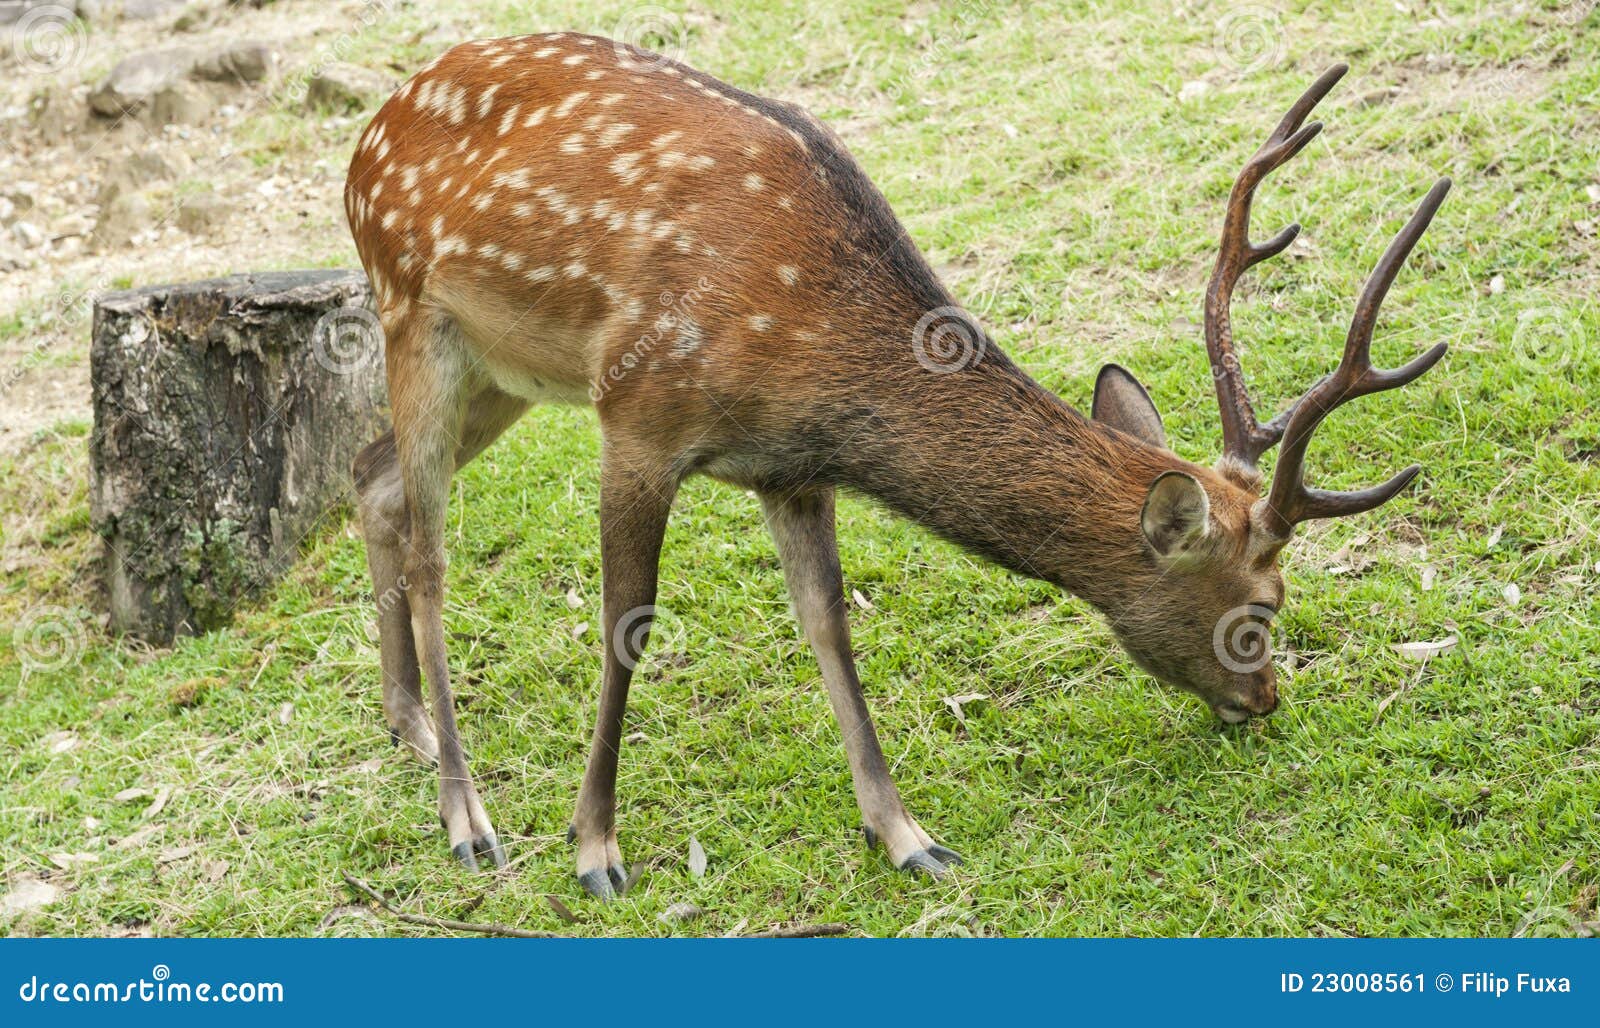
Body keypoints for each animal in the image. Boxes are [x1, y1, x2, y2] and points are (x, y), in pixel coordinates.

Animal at [344, 38, 1448, 898]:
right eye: (1262, 604)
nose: (1265, 703)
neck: (810, 346)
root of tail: (370, 127)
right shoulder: (639, 414)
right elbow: (628, 623)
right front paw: (595, 848)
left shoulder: (791, 469)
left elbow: (831, 628)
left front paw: (908, 837)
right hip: (413, 310)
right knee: (433, 550)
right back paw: (466, 815)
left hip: (509, 374)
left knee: (371, 473)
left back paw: (411, 727)